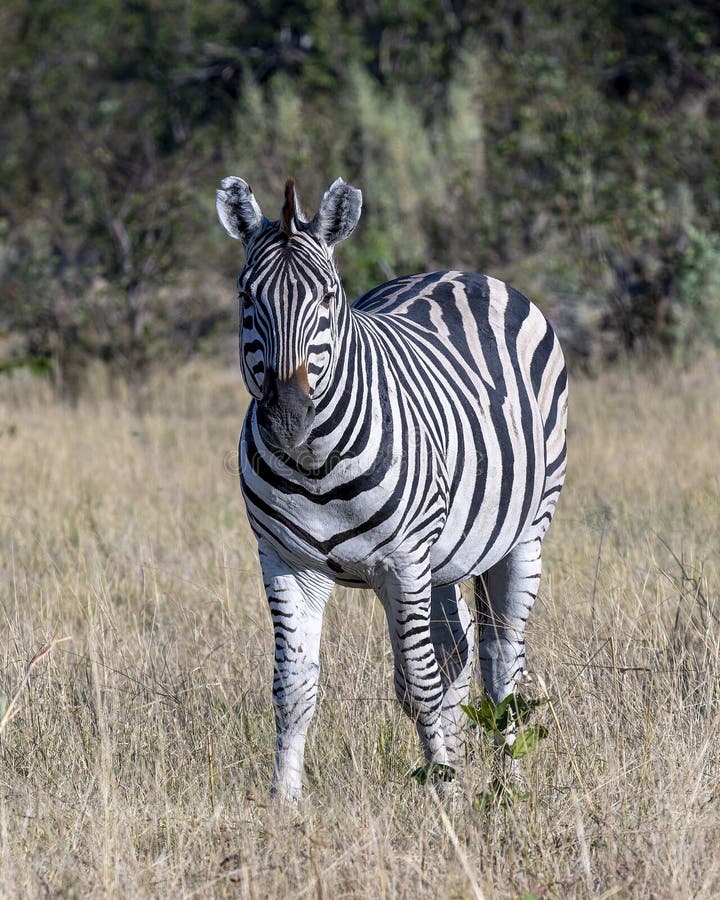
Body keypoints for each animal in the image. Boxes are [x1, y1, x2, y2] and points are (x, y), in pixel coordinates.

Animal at [216, 175, 568, 801]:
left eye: (328, 298)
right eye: (245, 300)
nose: (287, 419)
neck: (315, 466)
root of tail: (462, 273)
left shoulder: (404, 562)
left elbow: (423, 683)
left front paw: (446, 794)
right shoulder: (285, 562)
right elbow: (293, 686)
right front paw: (285, 801)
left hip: (524, 535)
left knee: (502, 664)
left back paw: (508, 784)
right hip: (446, 557)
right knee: (458, 649)